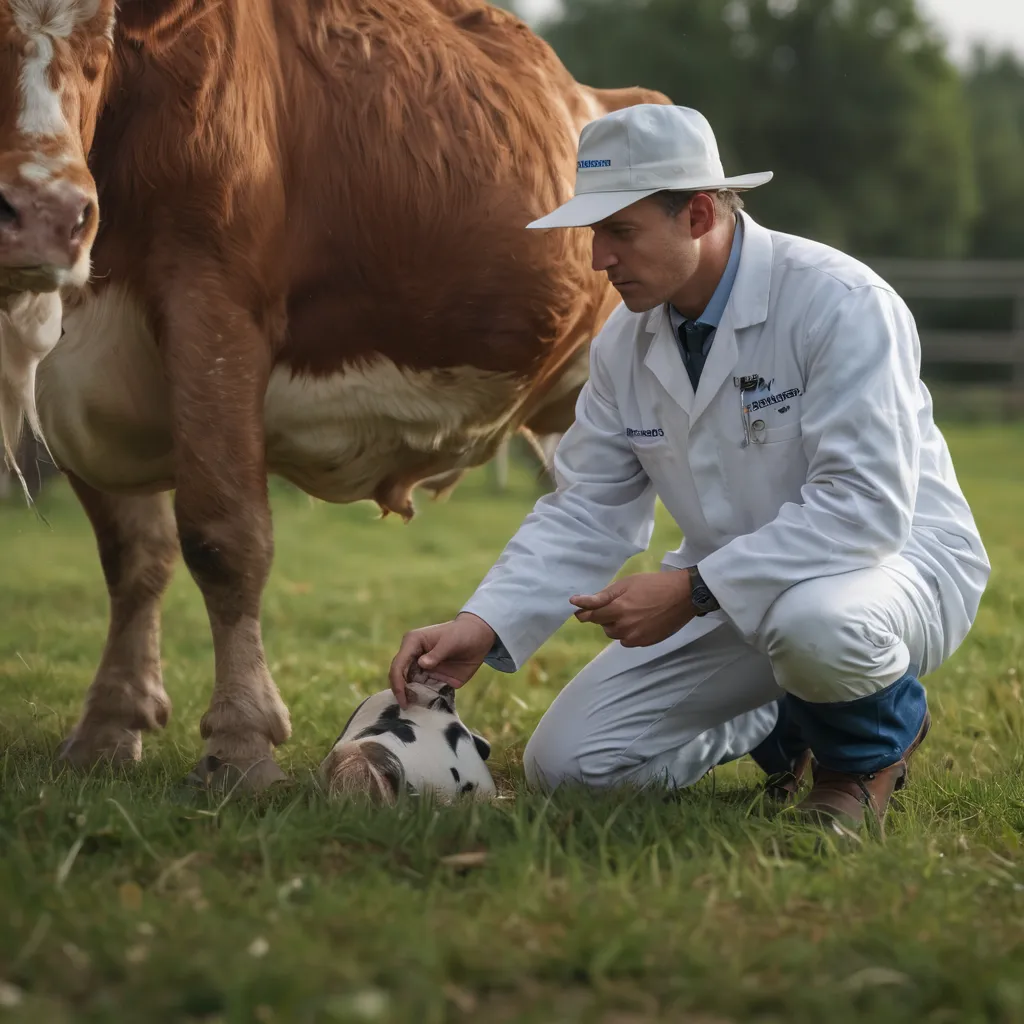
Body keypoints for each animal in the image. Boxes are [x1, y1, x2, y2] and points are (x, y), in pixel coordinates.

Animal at [0, 0, 669, 791]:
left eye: (100, 44)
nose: (46, 211)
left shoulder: (216, 308)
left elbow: (223, 536)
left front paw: (240, 744)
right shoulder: (75, 383)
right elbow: (133, 554)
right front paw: (109, 727)